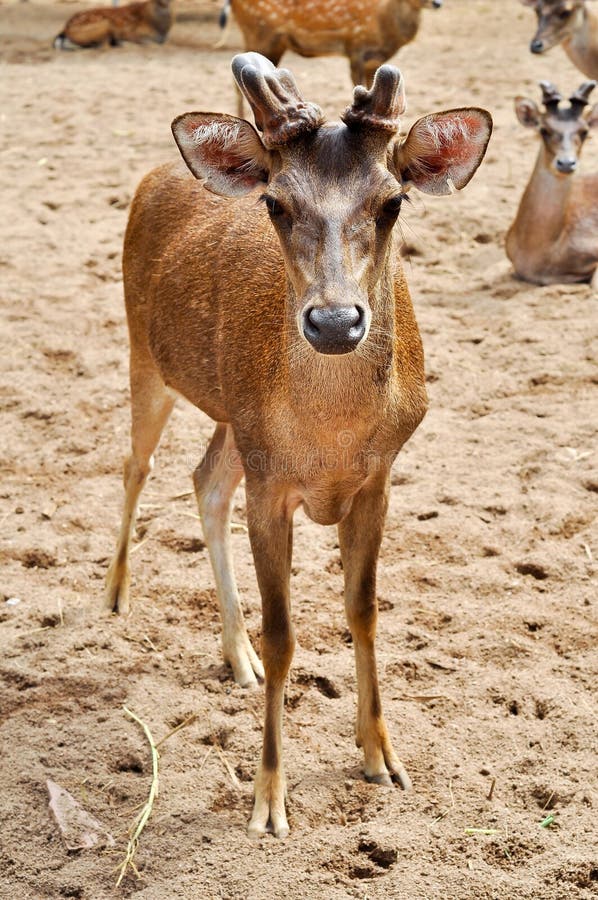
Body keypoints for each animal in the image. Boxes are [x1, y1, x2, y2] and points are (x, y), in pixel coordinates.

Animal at [105, 51, 491, 837]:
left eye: (393, 201)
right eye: (277, 205)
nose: (336, 321)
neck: (330, 436)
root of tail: (160, 173)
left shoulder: (377, 479)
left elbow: (363, 609)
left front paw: (382, 758)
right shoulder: (271, 484)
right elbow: (286, 635)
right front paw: (268, 801)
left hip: (232, 418)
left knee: (203, 479)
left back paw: (236, 657)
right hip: (145, 354)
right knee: (139, 463)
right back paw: (118, 596)